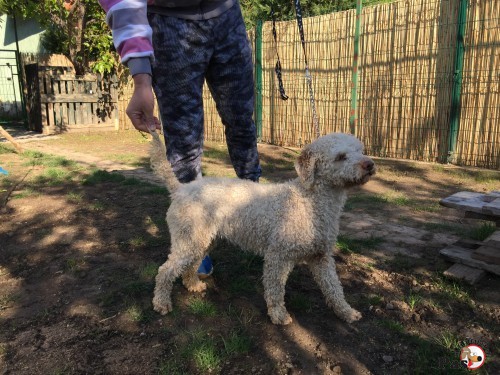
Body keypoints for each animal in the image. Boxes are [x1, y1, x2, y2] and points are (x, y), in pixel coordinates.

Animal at [148, 131, 376, 324]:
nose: (370, 164)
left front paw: (346, 312)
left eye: (361, 150)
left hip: (203, 240)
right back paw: (161, 302)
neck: (309, 201)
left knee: (190, 265)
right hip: (189, 240)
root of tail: (181, 189)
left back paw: (193, 284)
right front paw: (278, 315)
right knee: (164, 270)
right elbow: (275, 290)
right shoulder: (278, 256)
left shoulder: (321, 257)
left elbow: (334, 288)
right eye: (341, 156)